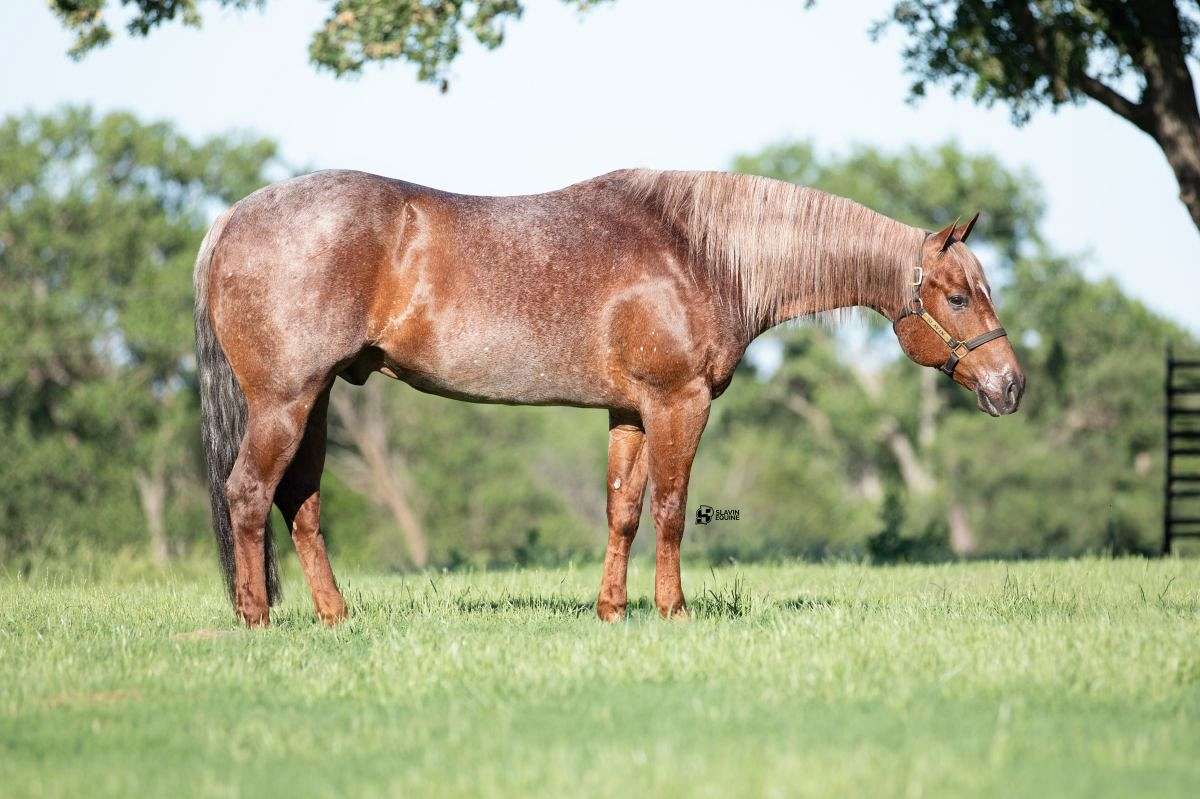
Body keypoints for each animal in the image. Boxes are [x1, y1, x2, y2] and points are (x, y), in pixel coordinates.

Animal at [194, 168, 1024, 627]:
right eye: (957, 296)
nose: (1010, 384)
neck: (697, 252)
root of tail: (231, 216)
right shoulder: (678, 402)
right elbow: (670, 508)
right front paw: (673, 609)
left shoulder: (629, 410)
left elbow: (622, 509)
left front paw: (612, 609)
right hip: (285, 400)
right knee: (249, 493)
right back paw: (257, 617)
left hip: (316, 400)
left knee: (300, 502)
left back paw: (336, 616)